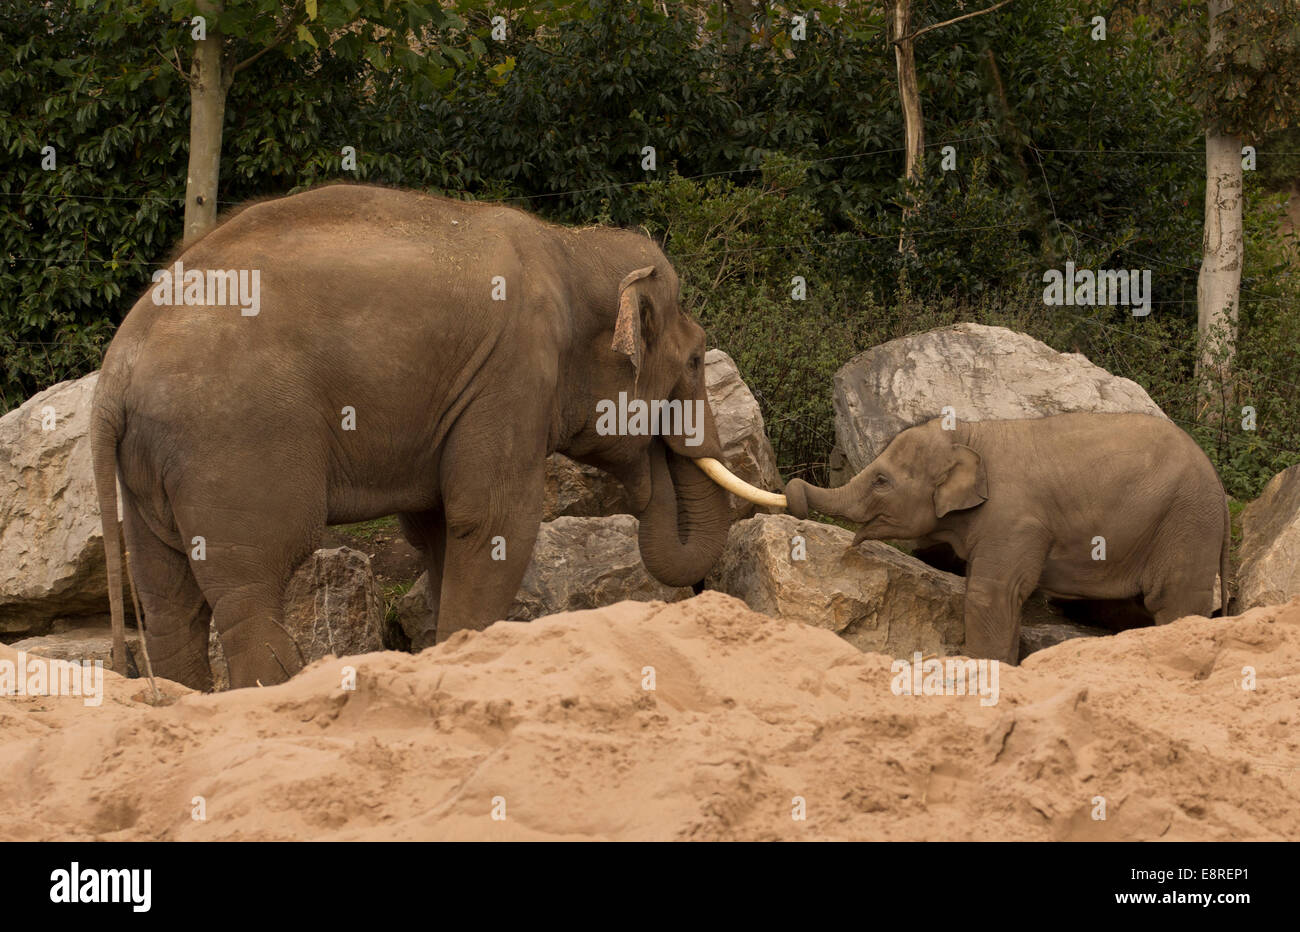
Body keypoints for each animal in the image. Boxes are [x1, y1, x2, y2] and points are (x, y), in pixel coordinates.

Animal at [91, 184, 779, 690]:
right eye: (696, 361)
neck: (572, 245)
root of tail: (115, 372)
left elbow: (441, 530)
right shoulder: (511, 375)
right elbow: (494, 520)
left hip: (148, 472)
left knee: (168, 604)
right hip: (233, 446)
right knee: (250, 592)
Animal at [784, 413, 1231, 663]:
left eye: (880, 480)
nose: (795, 495)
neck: (970, 434)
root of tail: (1221, 490)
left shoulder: (1014, 520)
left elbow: (991, 592)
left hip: (1187, 522)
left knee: (1176, 602)